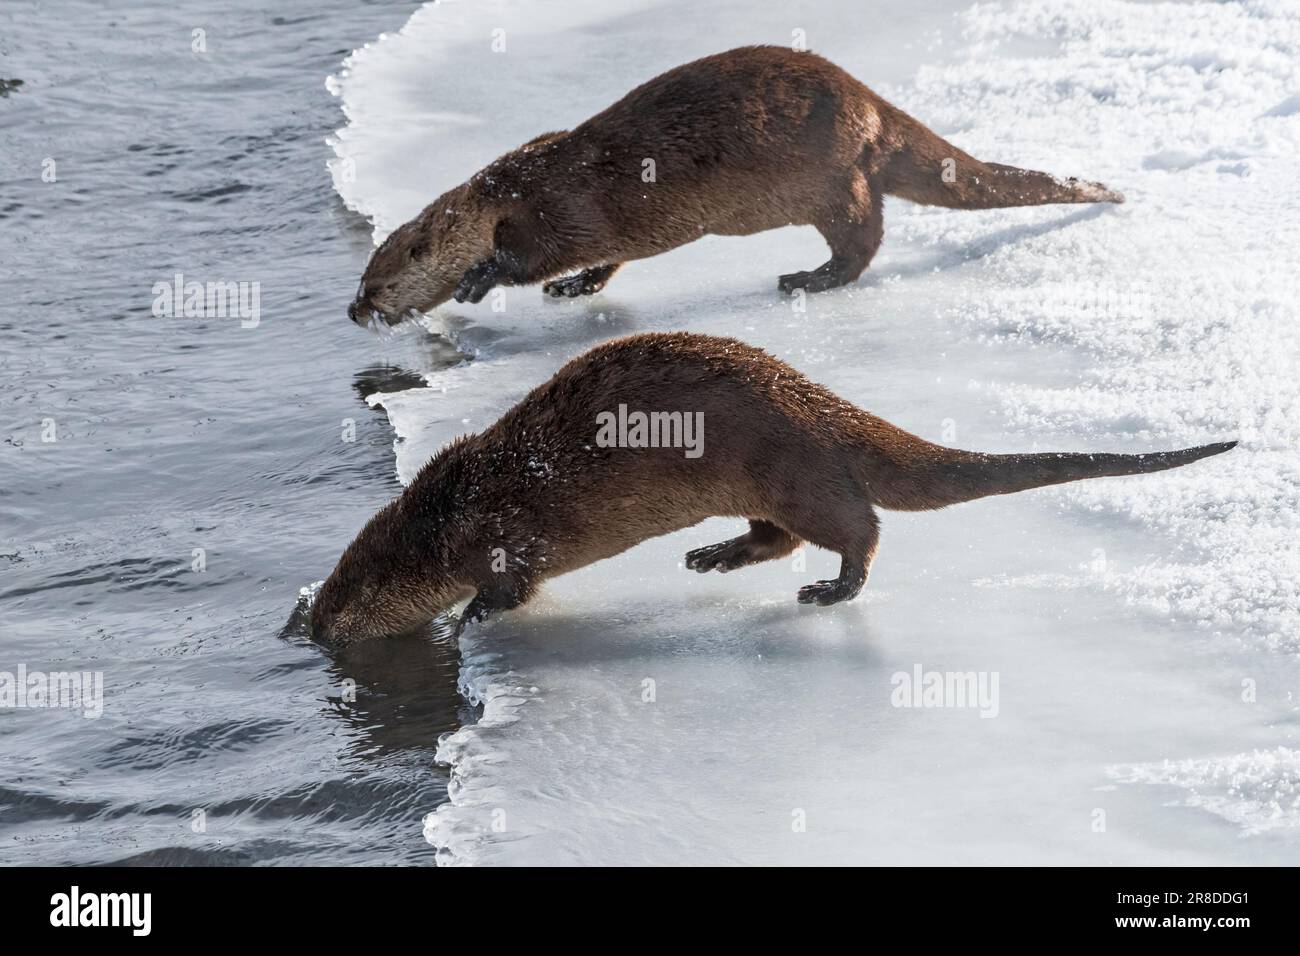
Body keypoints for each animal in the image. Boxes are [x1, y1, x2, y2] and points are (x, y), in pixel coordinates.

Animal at [311, 333, 1232, 645]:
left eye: (336, 606)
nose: (308, 633)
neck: (443, 518)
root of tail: (816, 399)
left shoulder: (503, 534)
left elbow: (511, 584)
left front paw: (469, 615)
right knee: (781, 533)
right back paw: (714, 556)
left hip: (792, 467)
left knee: (857, 528)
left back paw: (828, 589)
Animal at [347, 45, 1122, 326]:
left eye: (376, 284)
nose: (354, 314)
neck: (502, 195)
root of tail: (874, 107)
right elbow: (607, 258)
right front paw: (573, 287)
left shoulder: (554, 208)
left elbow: (535, 253)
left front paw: (481, 279)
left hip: (832, 177)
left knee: (863, 238)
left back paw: (806, 278)